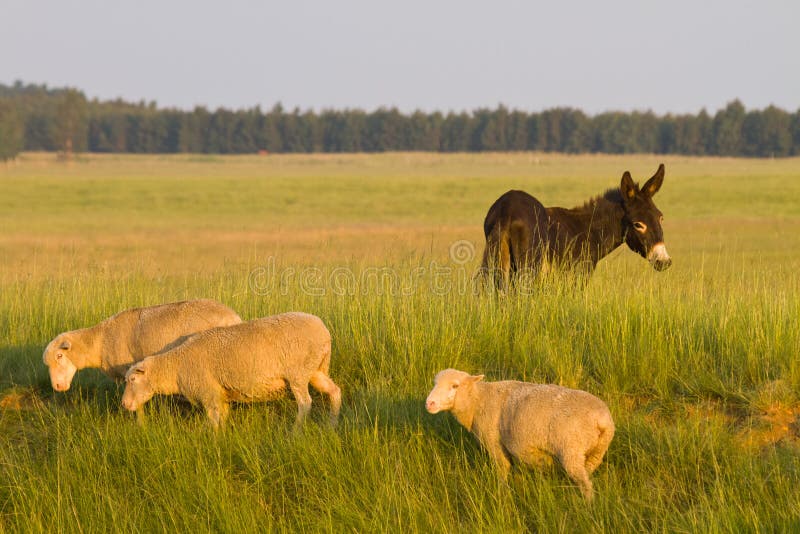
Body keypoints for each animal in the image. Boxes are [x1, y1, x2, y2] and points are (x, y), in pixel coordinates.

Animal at [120, 312, 341, 430]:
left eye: (132, 380)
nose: (124, 404)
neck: (176, 366)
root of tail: (323, 330)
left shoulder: (208, 393)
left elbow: (212, 421)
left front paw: (207, 439)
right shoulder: (220, 396)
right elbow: (222, 419)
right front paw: (222, 438)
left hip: (298, 373)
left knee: (305, 403)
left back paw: (295, 432)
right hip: (316, 370)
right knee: (334, 391)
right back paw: (331, 425)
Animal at [425, 368, 614, 501]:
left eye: (455, 386)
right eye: (434, 383)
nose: (430, 403)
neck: (478, 400)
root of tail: (602, 419)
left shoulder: (493, 441)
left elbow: (503, 469)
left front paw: (501, 494)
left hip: (571, 449)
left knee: (585, 484)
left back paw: (587, 507)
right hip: (596, 452)